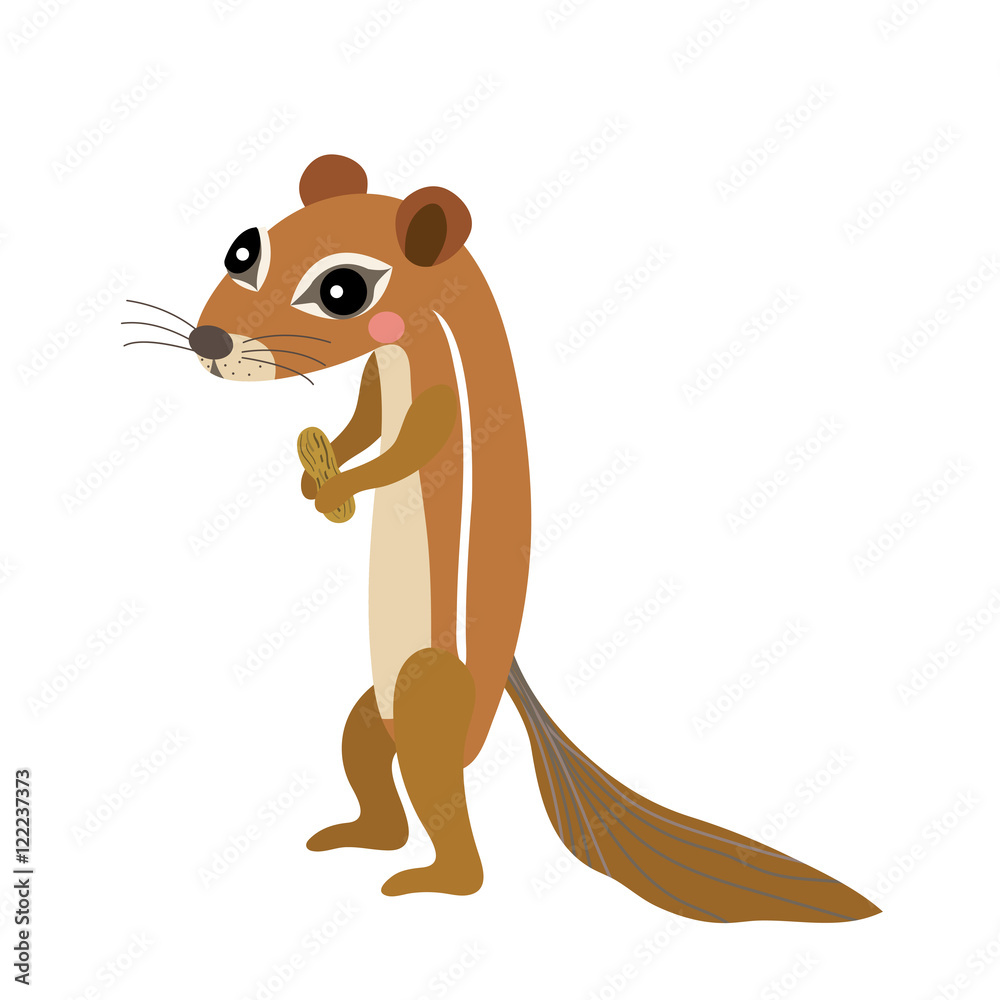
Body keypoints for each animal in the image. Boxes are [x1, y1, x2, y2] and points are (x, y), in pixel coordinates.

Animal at [129, 155, 879, 922]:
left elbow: (410, 445)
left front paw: (344, 483)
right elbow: (364, 420)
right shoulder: (376, 377)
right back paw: (363, 834)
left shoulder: (433, 401)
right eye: (242, 251)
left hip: (428, 693)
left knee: (445, 813)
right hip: (373, 708)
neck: (408, 349)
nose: (208, 343)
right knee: (370, 761)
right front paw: (321, 470)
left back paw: (437, 881)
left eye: (342, 290)